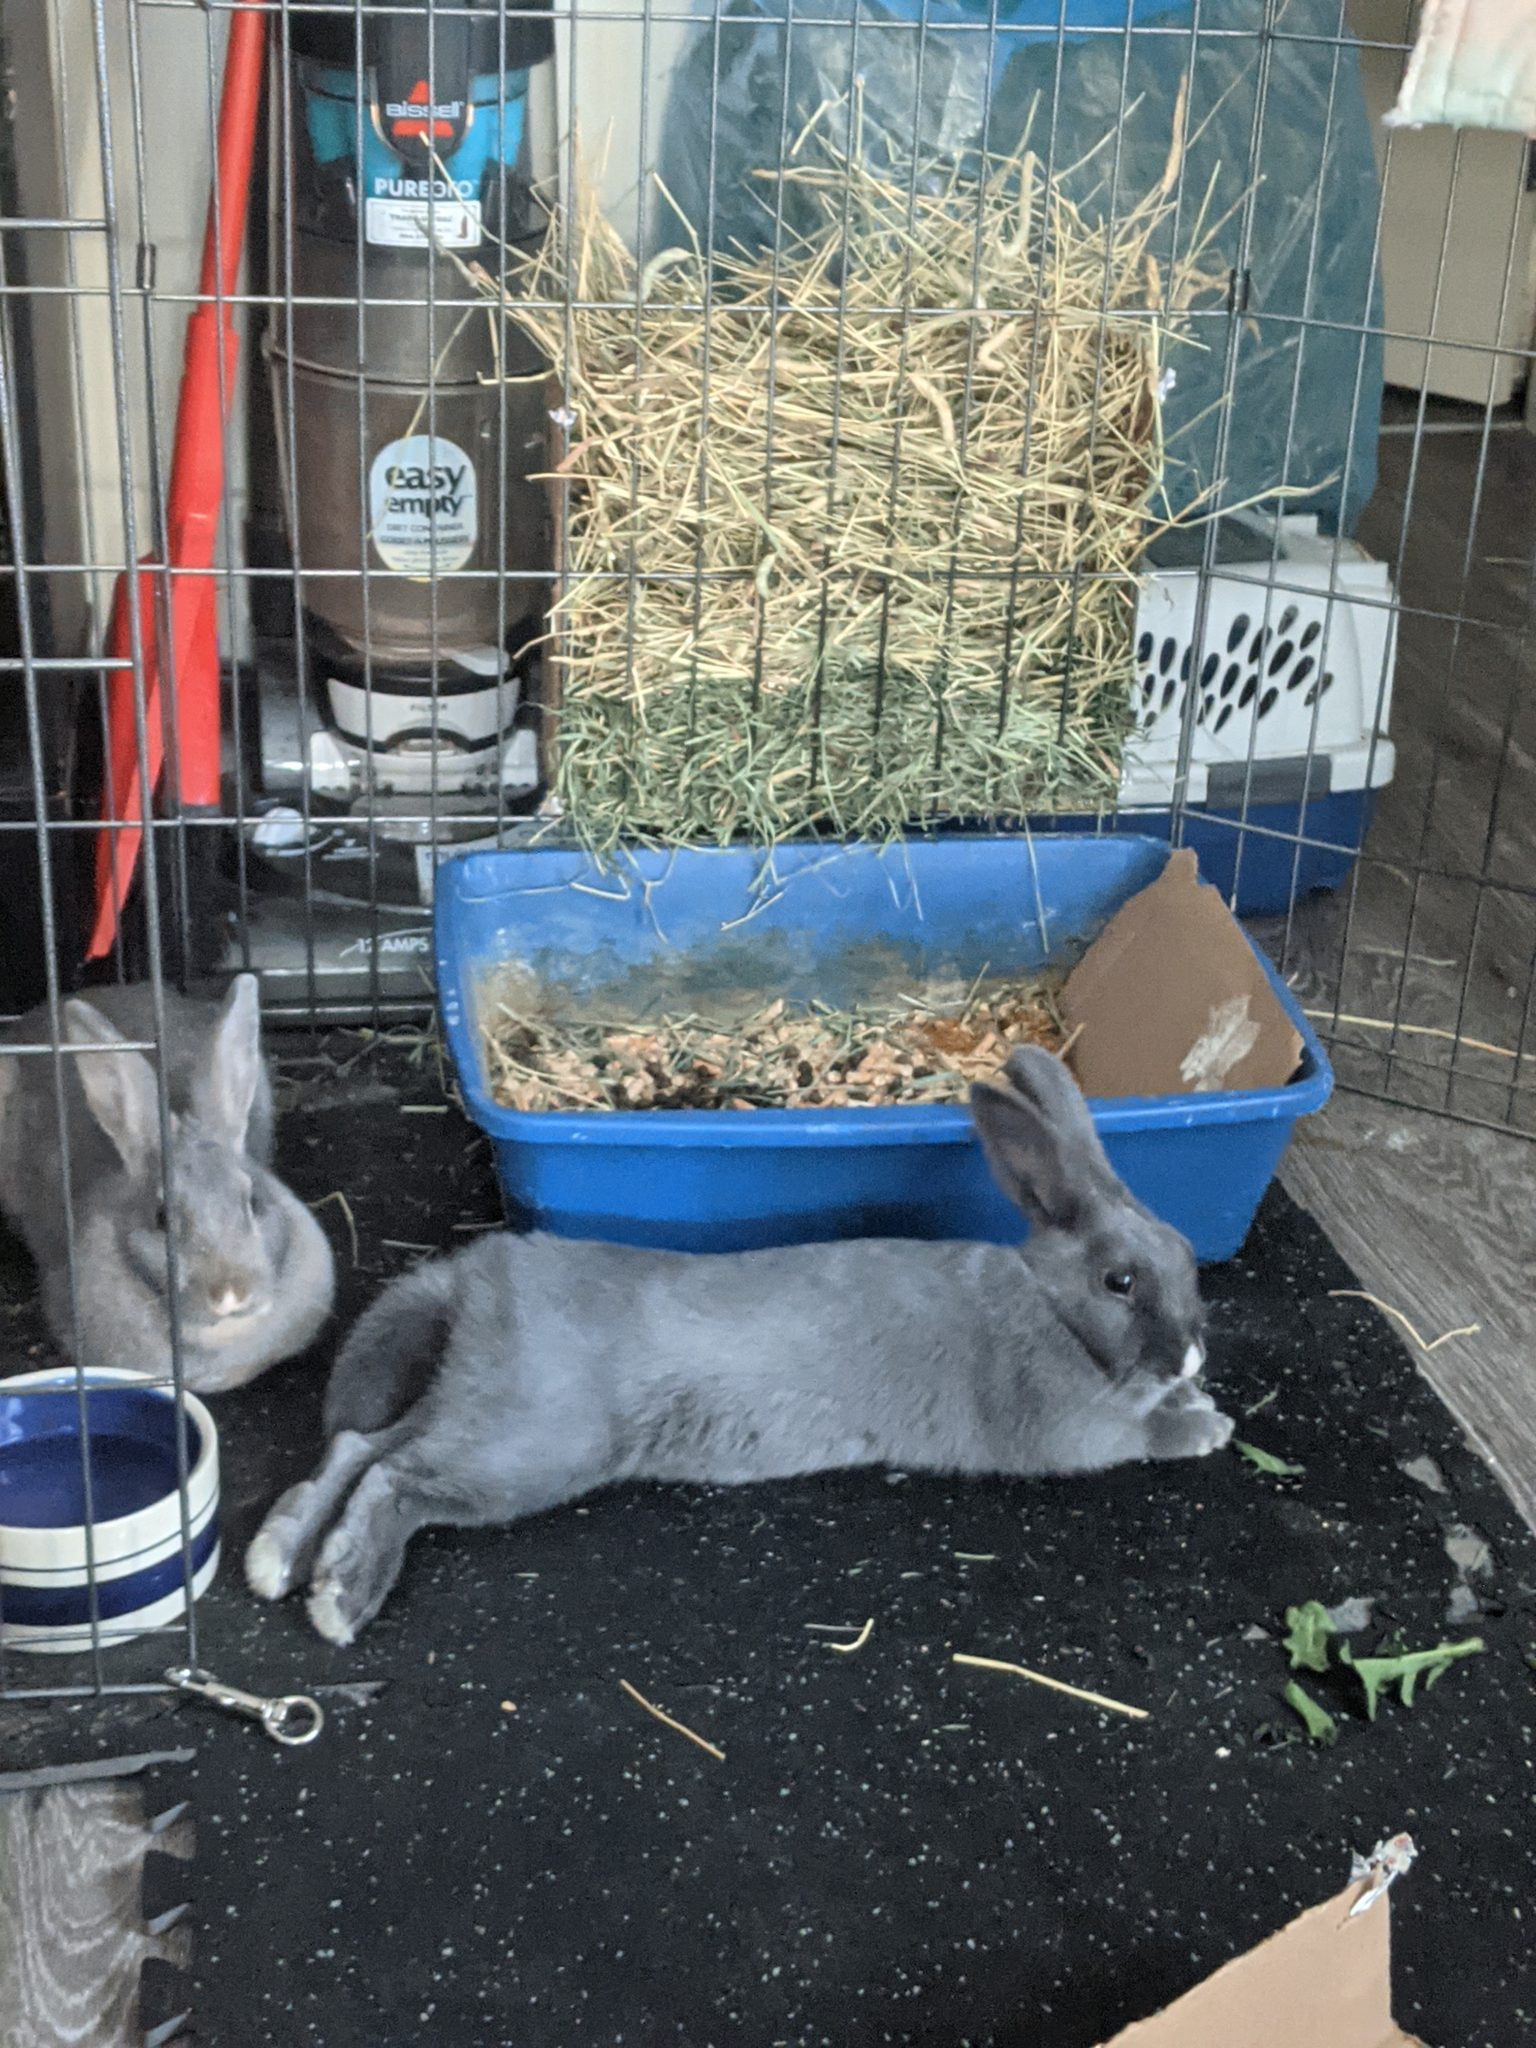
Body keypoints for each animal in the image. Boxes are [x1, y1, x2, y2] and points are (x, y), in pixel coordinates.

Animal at [246, 1043, 1232, 1646]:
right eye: (1120, 1281)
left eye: (1189, 1259)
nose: (1189, 1357)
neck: (1048, 1307)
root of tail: (480, 1278)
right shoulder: (1073, 1427)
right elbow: (1140, 1435)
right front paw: (1206, 1426)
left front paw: (1200, 1400)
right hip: (528, 1442)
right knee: (392, 1477)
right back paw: (341, 1598)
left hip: (475, 1409)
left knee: (355, 1447)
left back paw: (277, 1562)